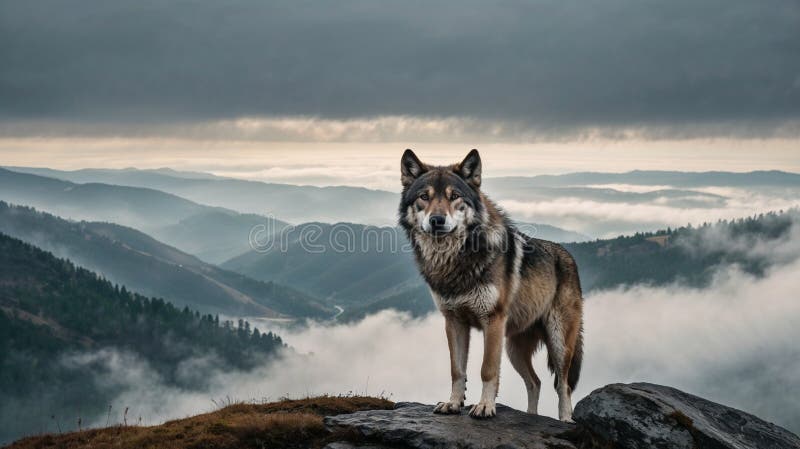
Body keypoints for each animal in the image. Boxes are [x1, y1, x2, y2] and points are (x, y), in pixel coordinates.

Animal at [398, 149, 584, 421]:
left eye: (454, 197)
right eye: (424, 197)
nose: (437, 220)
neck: (455, 261)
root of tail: (569, 256)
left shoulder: (492, 321)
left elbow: (487, 370)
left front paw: (485, 406)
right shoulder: (453, 321)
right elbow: (457, 370)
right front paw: (453, 404)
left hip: (558, 342)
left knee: (563, 384)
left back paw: (565, 420)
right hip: (514, 349)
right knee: (535, 382)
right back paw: (531, 417)